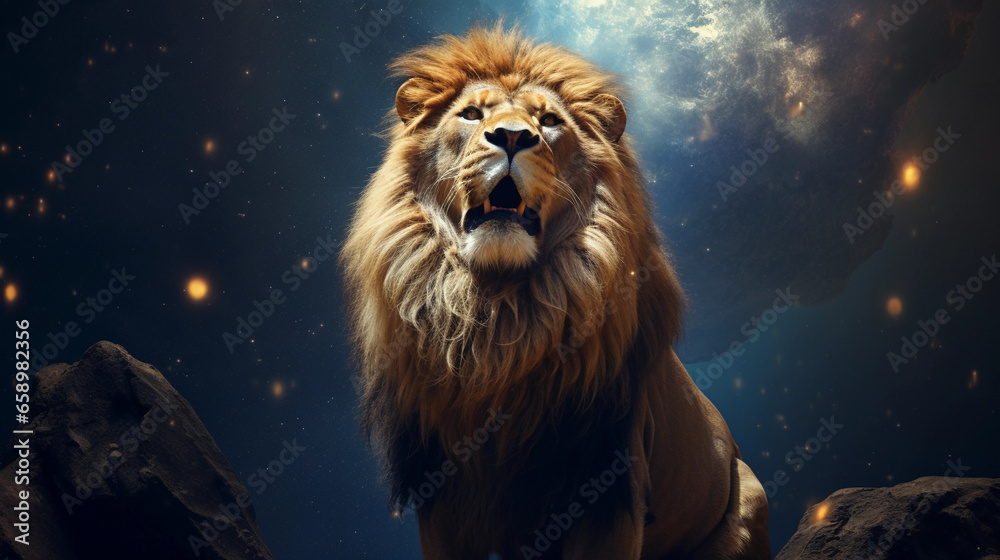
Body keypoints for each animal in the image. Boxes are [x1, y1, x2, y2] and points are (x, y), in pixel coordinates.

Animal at [340, 24, 770, 560]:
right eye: (472, 114)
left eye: (547, 121)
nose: (511, 136)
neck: (500, 314)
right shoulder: (440, 498)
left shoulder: (608, 489)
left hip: (750, 500)